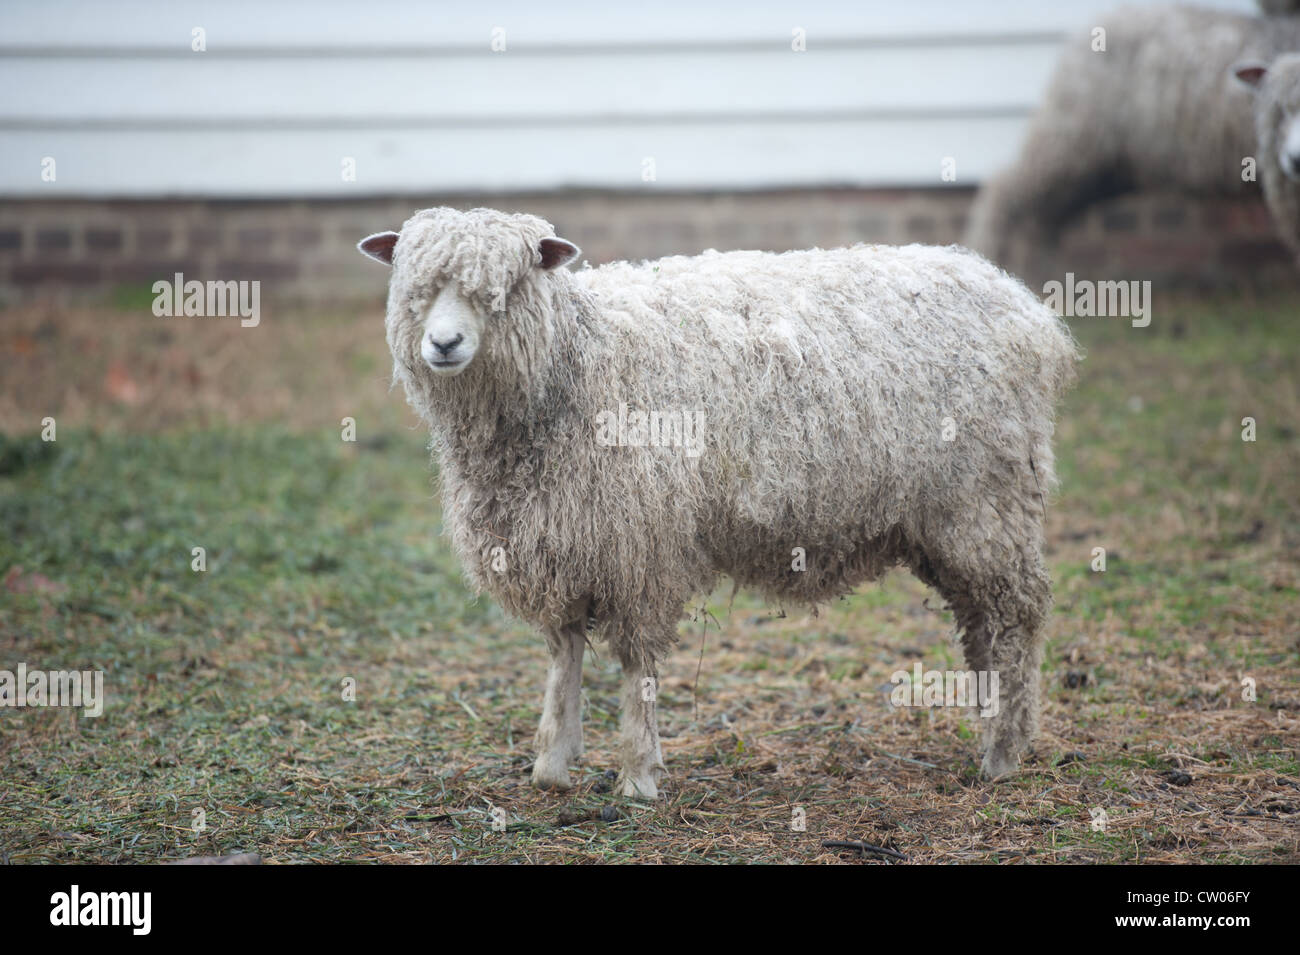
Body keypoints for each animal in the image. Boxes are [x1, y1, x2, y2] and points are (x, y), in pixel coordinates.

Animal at [358, 207, 1080, 798]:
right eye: (415, 286)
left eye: (503, 289)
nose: (443, 344)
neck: (577, 360)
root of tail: (1031, 313)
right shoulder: (563, 542)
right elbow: (564, 656)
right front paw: (553, 762)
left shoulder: (640, 548)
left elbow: (637, 663)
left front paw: (637, 775)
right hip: (949, 521)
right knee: (982, 625)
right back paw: (990, 726)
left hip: (987, 501)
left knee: (1018, 616)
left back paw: (1003, 752)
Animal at [964, 4, 1300, 275]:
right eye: (1281, 108)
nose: (1295, 160)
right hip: (1068, 136)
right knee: (1005, 192)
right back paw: (993, 254)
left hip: (1099, 164)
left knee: (1044, 215)